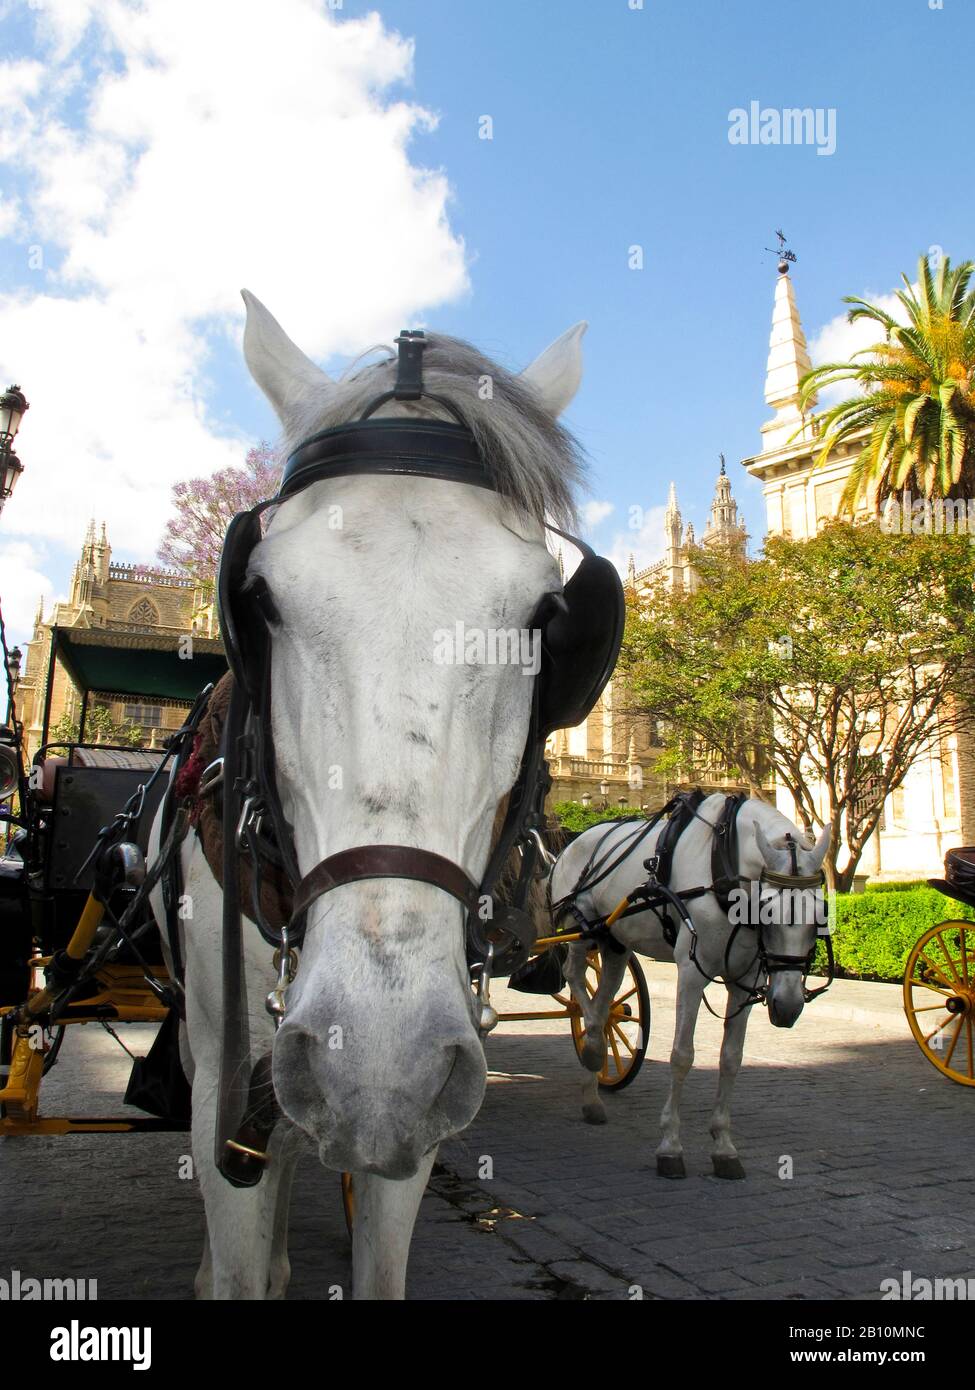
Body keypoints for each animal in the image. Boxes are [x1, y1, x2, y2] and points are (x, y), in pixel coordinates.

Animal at [148, 292, 609, 1299]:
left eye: (548, 617)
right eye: (258, 599)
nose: (374, 1058)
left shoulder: (423, 1093)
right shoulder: (233, 1075)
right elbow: (236, 1237)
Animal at [547, 792, 831, 1179]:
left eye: (821, 915)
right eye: (768, 911)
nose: (786, 1008)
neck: (724, 866)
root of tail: (577, 839)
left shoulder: (747, 979)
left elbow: (731, 1058)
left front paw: (724, 1146)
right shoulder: (691, 972)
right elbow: (682, 1055)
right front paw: (670, 1146)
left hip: (615, 941)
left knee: (603, 1003)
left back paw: (592, 1080)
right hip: (582, 928)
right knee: (574, 974)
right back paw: (592, 1048)